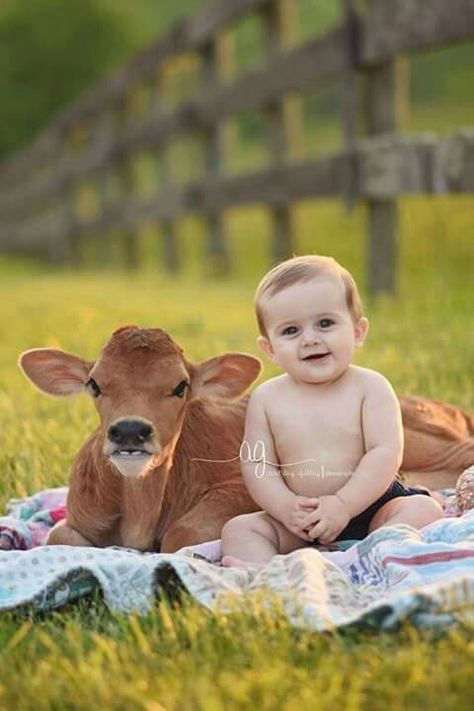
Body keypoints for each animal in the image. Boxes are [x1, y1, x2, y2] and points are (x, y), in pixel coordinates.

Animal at [19, 325, 473, 552]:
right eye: (95, 384)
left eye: (181, 386)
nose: (130, 430)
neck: (138, 507)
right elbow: (59, 536)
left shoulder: (235, 486)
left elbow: (182, 534)